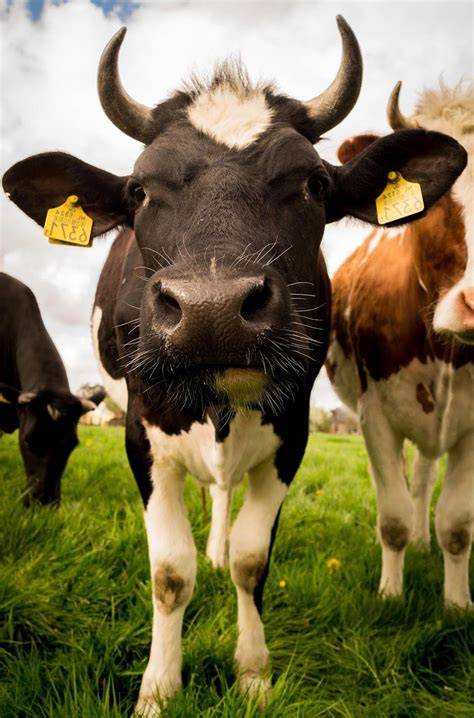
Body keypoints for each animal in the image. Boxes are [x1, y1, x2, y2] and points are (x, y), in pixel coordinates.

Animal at [327, 80, 473, 610]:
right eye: (438, 194)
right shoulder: (374, 415)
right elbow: (392, 514)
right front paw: (390, 593)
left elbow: (457, 523)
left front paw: (457, 603)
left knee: (425, 476)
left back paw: (424, 541)